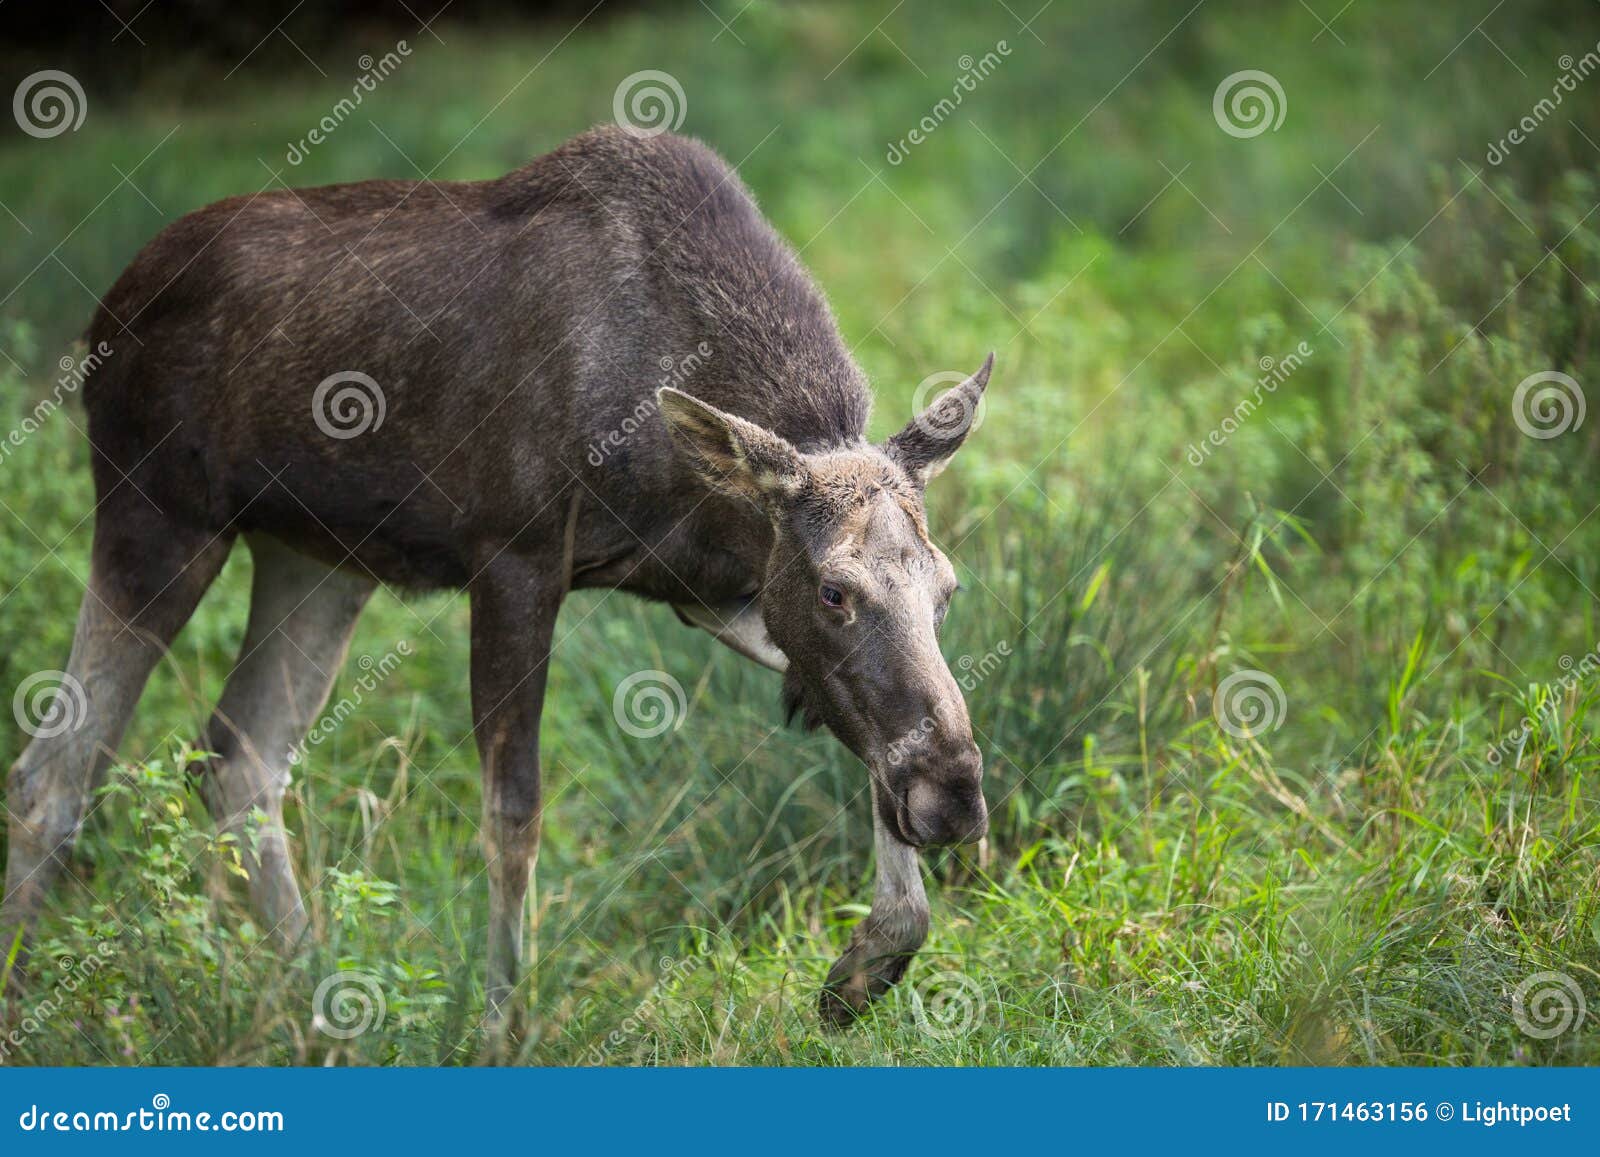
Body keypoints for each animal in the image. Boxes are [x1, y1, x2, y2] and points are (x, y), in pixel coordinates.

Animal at [1, 125, 993, 1035]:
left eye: (947, 587)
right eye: (834, 590)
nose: (957, 795)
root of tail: (102, 314)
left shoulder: (714, 590)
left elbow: (878, 741)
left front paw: (863, 966)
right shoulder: (516, 556)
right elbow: (514, 816)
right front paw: (501, 1032)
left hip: (314, 557)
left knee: (237, 756)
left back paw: (328, 1010)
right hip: (158, 515)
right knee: (55, 771)